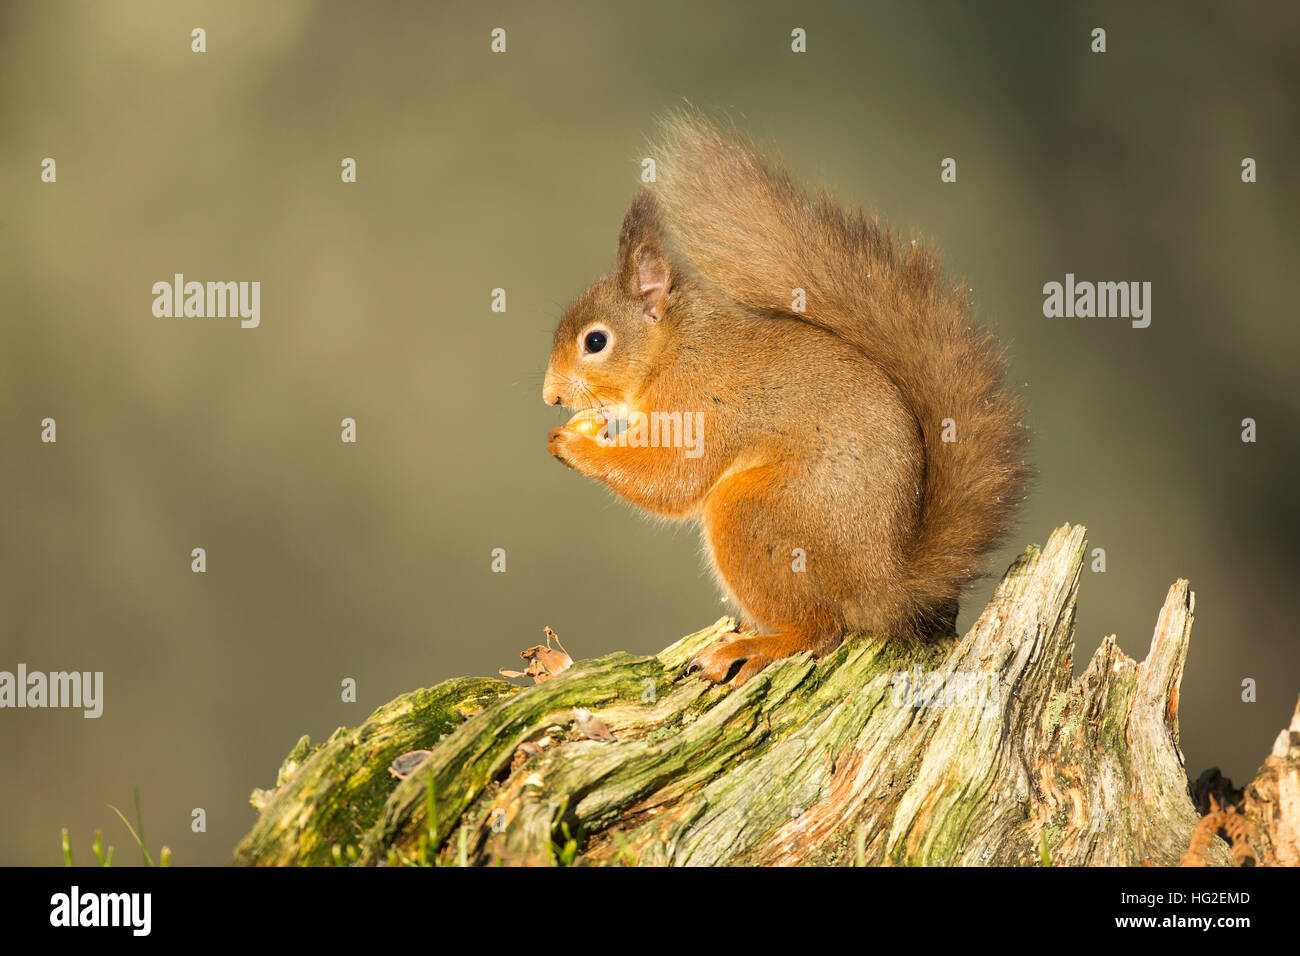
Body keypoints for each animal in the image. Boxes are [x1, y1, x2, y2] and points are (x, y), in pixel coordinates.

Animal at [543, 113, 1029, 686]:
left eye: (595, 341)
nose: (550, 396)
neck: (677, 348)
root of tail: (885, 587)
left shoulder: (698, 405)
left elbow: (671, 479)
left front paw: (573, 447)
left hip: (753, 516)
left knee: (820, 632)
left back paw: (749, 648)